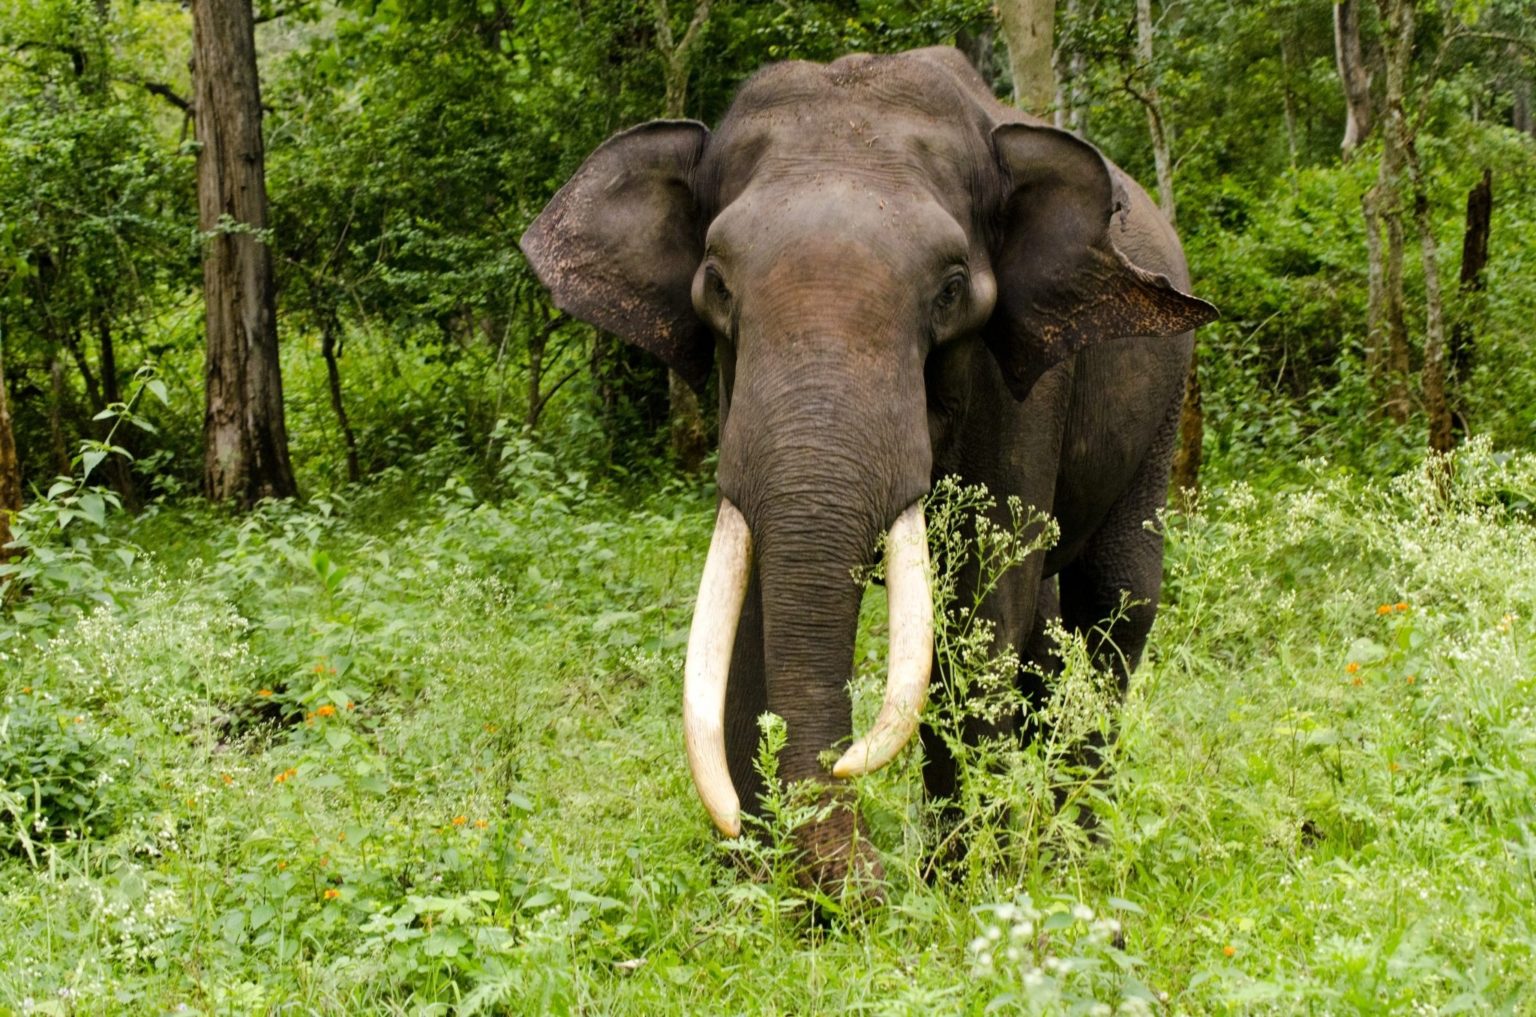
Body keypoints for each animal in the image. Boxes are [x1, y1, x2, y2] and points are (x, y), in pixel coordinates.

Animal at [521, 46, 1217, 889]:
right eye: (717, 283)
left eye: (951, 288)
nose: (865, 876)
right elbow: (756, 602)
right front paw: (759, 886)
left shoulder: (1026, 381)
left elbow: (980, 607)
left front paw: (960, 883)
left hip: (1165, 397)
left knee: (1116, 606)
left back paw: (1077, 847)